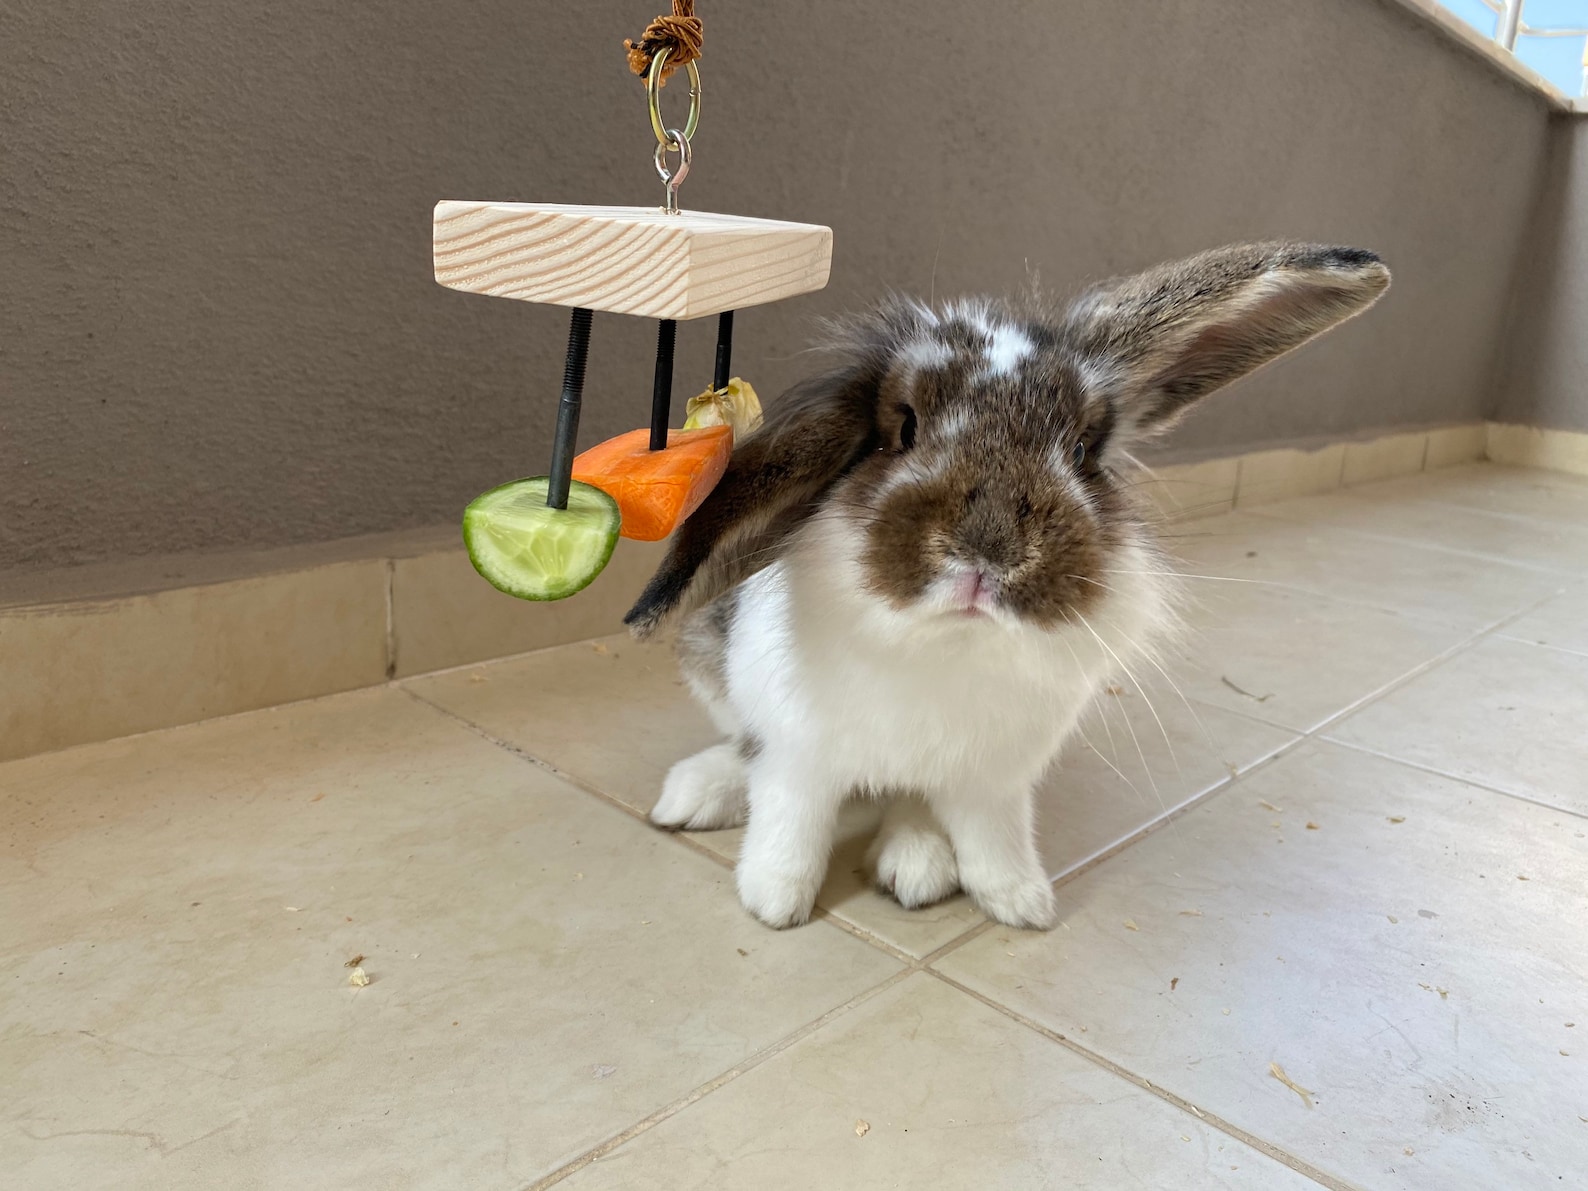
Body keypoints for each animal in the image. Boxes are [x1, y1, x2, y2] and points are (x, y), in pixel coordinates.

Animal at [625, 242, 1390, 930]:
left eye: (1081, 450)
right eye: (903, 427)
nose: (988, 550)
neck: (947, 646)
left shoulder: (993, 780)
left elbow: (994, 837)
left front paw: (1020, 901)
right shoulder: (799, 756)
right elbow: (791, 820)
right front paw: (773, 899)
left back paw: (916, 861)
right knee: (744, 751)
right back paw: (694, 794)